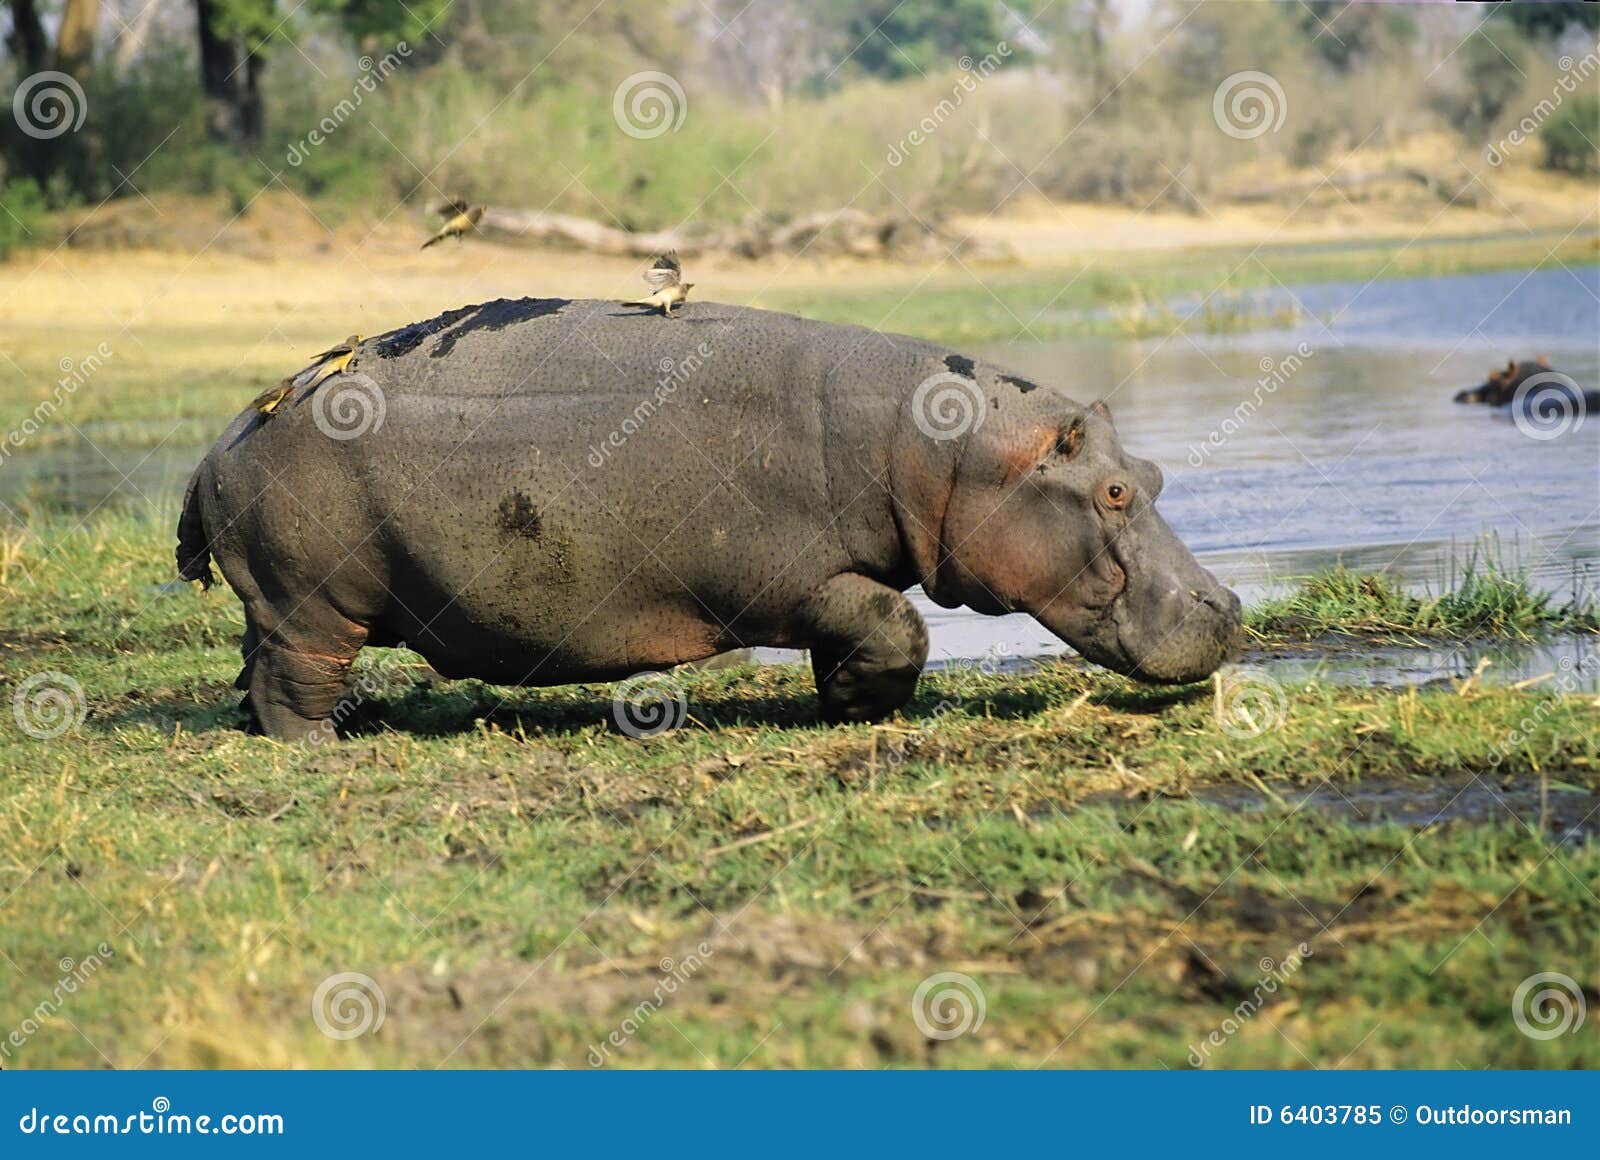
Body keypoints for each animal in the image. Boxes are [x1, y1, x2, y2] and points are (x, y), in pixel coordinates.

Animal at [176, 298, 1241, 739]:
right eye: (1112, 493)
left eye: (1150, 472)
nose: (1228, 607)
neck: (949, 453)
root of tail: (222, 439)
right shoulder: (791, 580)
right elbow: (896, 624)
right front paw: (859, 705)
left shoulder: (830, 584)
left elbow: (867, 628)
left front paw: (844, 702)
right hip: (314, 604)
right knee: (293, 679)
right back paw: (322, 745)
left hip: (279, 602)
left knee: (254, 667)